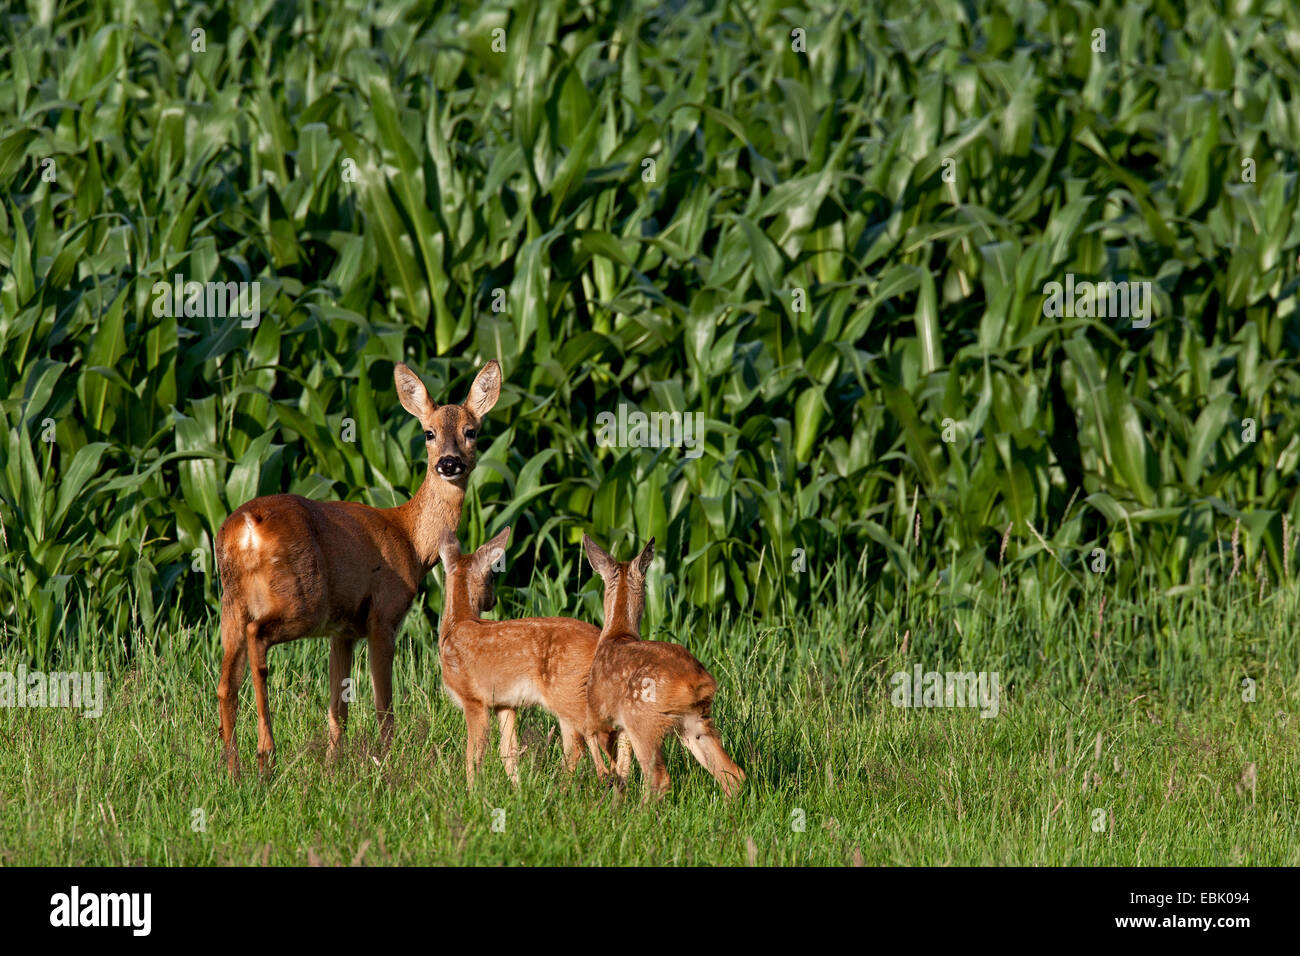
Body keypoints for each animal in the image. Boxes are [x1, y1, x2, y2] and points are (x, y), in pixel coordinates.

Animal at [214, 359, 501, 775]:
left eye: (471, 431)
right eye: (428, 432)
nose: (449, 463)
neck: (410, 540)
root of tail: (247, 528)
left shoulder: (343, 629)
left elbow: (338, 705)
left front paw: (333, 763)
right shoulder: (383, 614)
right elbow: (384, 703)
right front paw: (387, 759)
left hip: (232, 603)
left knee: (226, 681)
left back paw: (232, 766)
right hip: (301, 598)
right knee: (258, 640)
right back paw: (266, 752)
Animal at [437, 527, 630, 786]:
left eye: (492, 577)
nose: (493, 600)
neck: (455, 625)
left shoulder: (473, 699)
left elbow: (474, 754)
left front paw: (471, 790)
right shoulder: (505, 704)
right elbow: (508, 752)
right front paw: (516, 788)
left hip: (570, 694)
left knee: (590, 742)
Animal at [582, 534, 745, 801]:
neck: (616, 634)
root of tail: (696, 682)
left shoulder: (598, 709)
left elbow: (591, 737)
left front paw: (604, 779)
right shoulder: (623, 728)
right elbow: (622, 769)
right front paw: (615, 796)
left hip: (643, 719)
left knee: (659, 780)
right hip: (694, 722)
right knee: (733, 774)